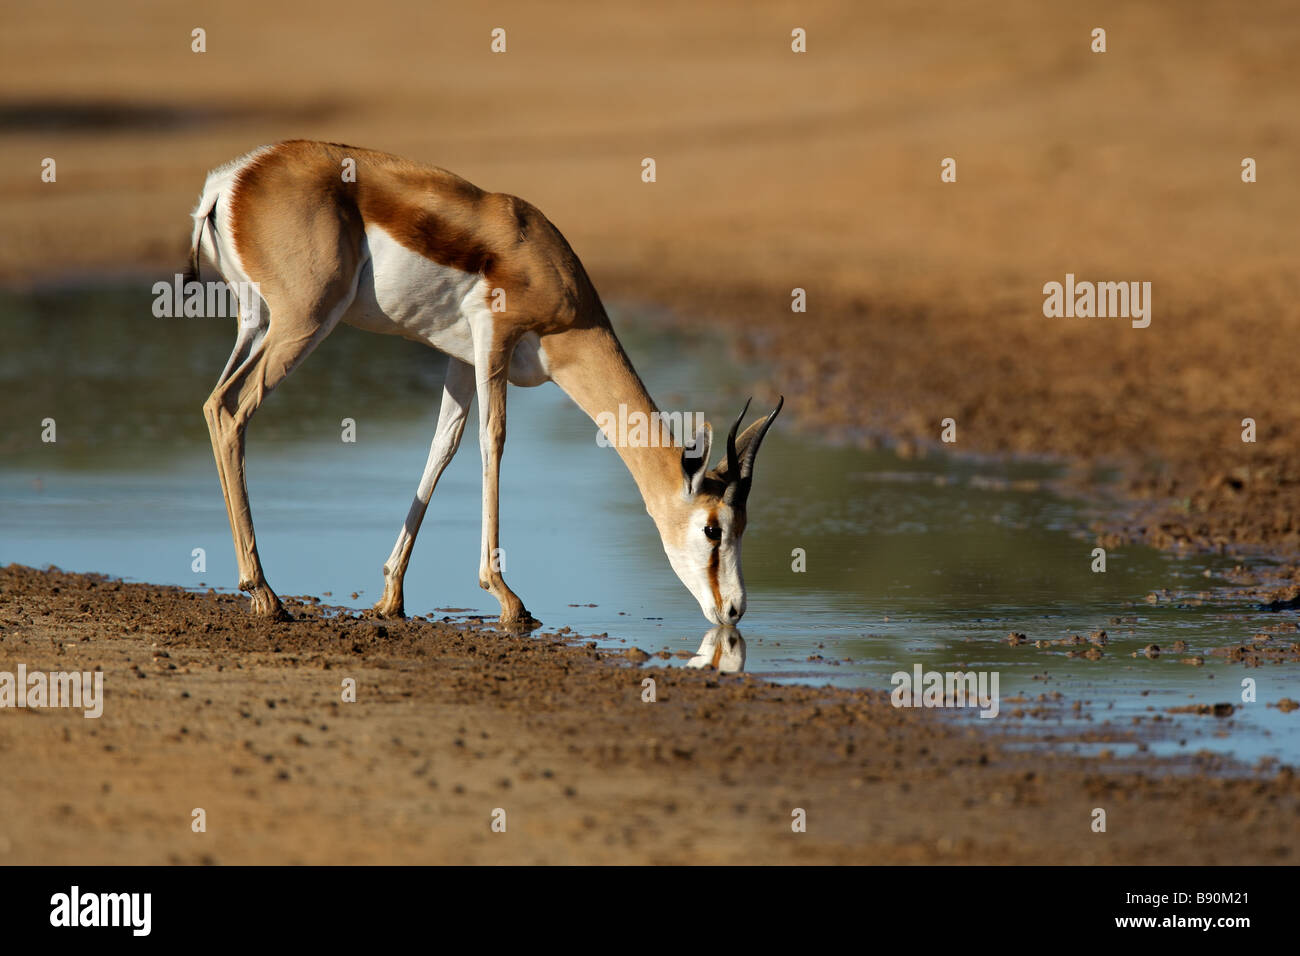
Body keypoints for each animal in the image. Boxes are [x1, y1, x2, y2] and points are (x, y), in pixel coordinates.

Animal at [189, 141, 782, 629]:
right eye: (713, 528)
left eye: (744, 525)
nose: (734, 609)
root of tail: (232, 180)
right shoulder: (492, 335)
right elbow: (491, 442)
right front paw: (507, 598)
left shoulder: (458, 359)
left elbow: (443, 448)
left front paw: (391, 597)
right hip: (305, 321)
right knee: (232, 409)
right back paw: (264, 593)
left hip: (255, 322)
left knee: (214, 404)